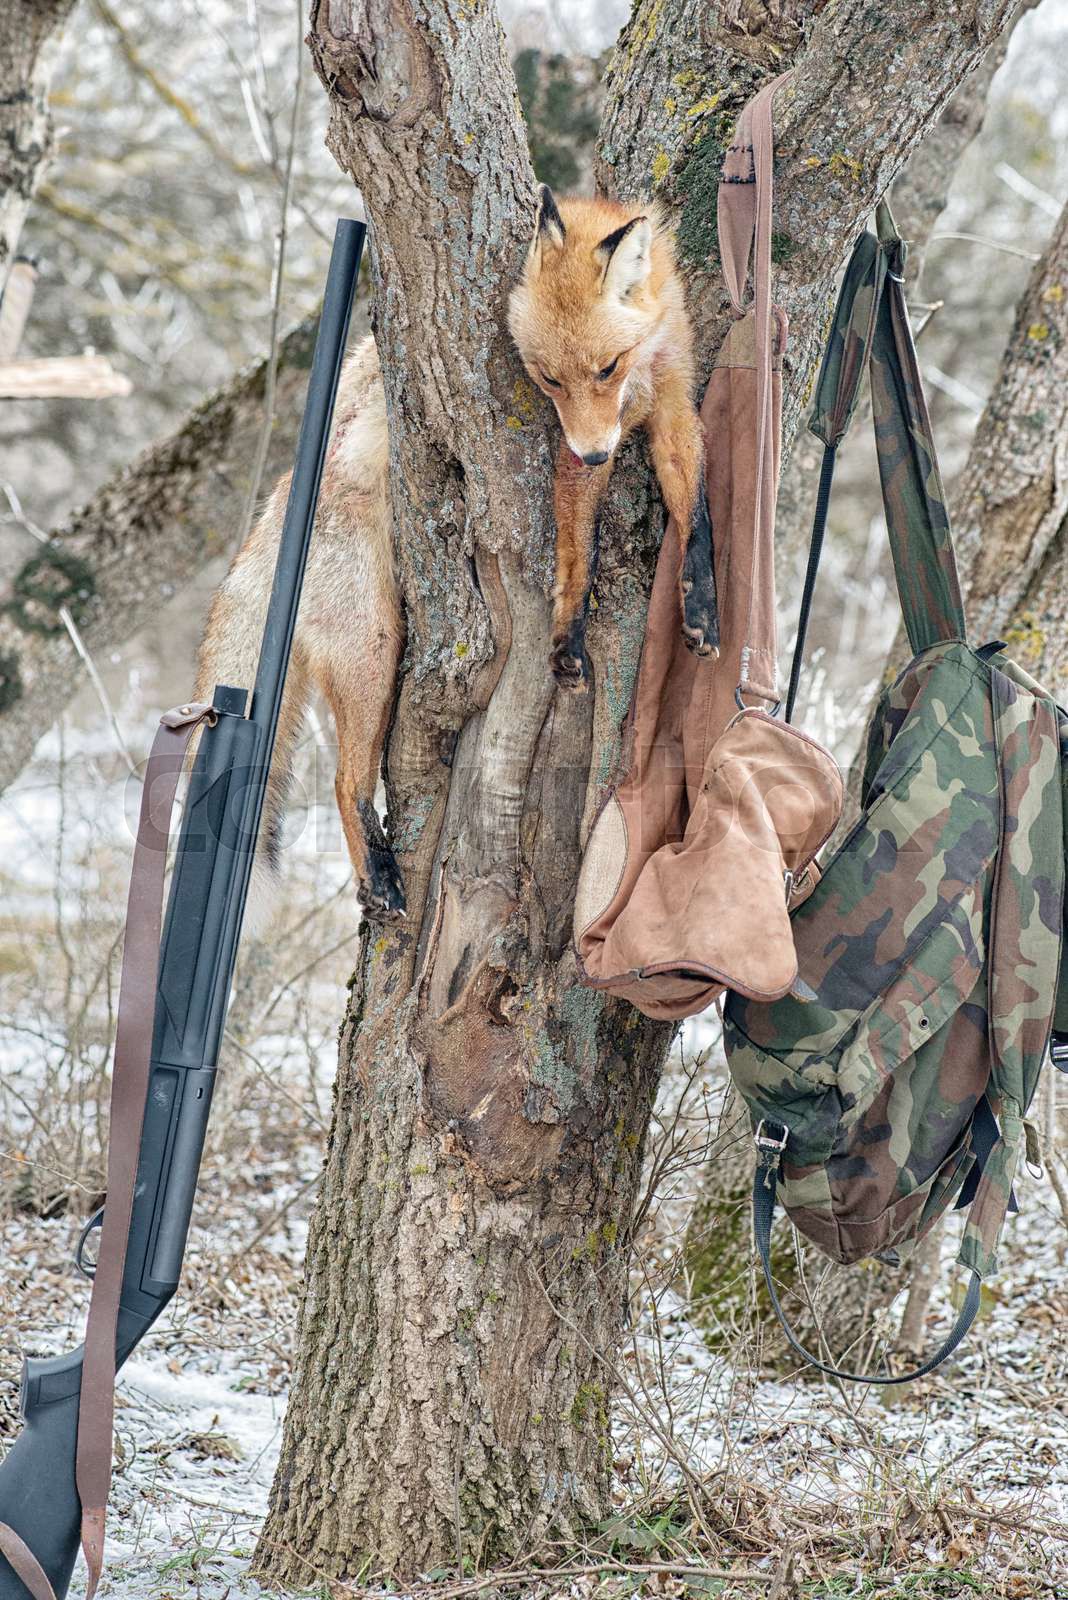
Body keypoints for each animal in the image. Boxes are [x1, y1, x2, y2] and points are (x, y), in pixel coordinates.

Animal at [193, 187, 714, 922]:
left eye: (605, 368)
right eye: (547, 380)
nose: (595, 454)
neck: (636, 379)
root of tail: (267, 535)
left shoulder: (669, 405)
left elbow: (697, 516)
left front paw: (703, 605)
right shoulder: (565, 451)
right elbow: (577, 559)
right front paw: (567, 637)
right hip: (375, 649)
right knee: (344, 781)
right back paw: (380, 875)